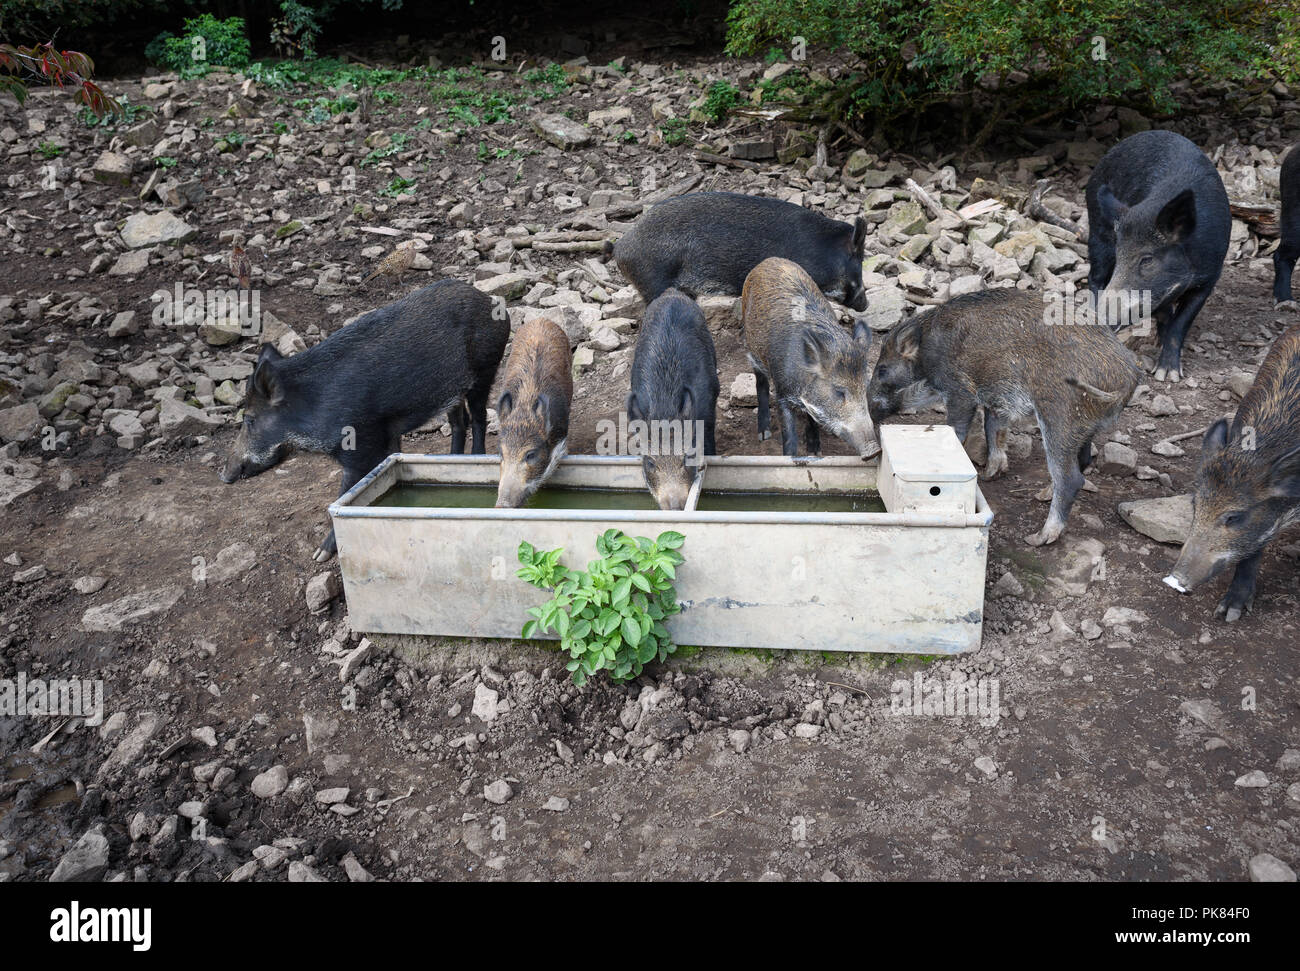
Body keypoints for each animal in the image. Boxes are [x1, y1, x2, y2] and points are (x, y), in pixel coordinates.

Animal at [220, 279, 509, 560]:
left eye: (249, 419)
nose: (225, 476)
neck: (312, 404)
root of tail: (490, 301)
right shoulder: (387, 436)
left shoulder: (359, 445)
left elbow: (344, 493)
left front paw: (320, 555)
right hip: (452, 391)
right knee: (459, 422)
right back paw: (451, 458)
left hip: (486, 370)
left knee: (479, 418)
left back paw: (477, 456)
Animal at [740, 257, 877, 458]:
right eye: (838, 391)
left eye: (865, 388)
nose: (874, 450)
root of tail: (769, 260)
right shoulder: (782, 391)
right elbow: (789, 433)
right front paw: (793, 456)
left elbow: (812, 419)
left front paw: (815, 453)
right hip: (752, 349)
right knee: (761, 383)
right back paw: (763, 435)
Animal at [867, 287, 1141, 547]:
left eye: (882, 370)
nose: (869, 409)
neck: (927, 354)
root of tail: (1128, 377)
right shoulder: (996, 400)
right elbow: (993, 431)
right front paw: (991, 474)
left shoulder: (961, 391)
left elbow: (958, 430)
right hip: (1084, 425)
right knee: (1082, 460)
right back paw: (1043, 495)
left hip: (1060, 415)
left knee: (1071, 478)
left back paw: (1038, 538)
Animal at [1086, 129, 1230, 383]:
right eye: (1120, 254)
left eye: (1147, 259)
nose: (1103, 319)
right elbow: (1164, 314)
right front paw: (1162, 369)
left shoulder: (1210, 276)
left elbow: (1180, 323)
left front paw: (1167, 375)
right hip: (1097, 232)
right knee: (1094, 278)